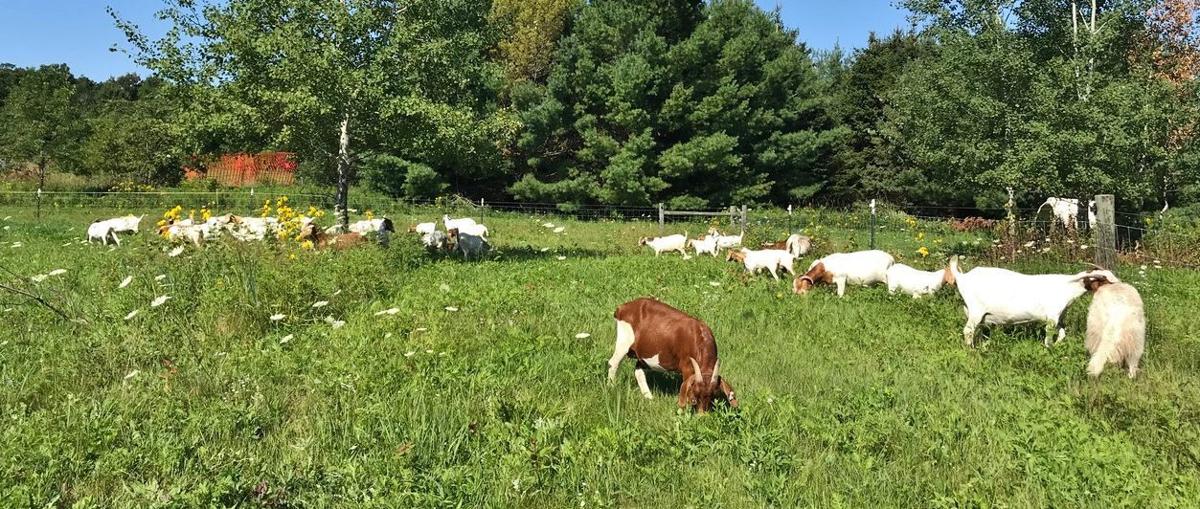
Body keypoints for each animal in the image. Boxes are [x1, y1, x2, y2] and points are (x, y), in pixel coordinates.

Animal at [609, 297, 737, 412]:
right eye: (694, 398)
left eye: (713, 396)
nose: (702, 416)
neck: (700, 339)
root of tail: (622, 308)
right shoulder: (687, 366)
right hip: (624, 340)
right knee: (613, 363)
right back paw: (611, 386)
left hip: (644, 353)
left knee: (638, 370)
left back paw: (649, 398)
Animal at [949, 256, 1117, 347]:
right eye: (1104, 279)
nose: (1119, 284)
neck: (1067, 287)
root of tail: (962, 277)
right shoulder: (1052, 316)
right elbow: (1049, 332)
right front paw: (1049, 346)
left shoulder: (1059, 316)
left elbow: (1062, 333)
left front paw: (1057, 345)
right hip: (976, 310)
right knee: (968, 330)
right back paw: (972, 349)